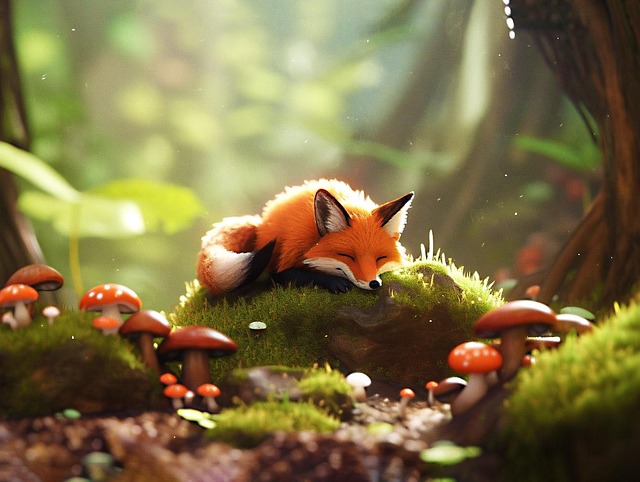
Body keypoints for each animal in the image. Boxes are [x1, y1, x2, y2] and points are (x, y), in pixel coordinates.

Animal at [196, 179, 414, 295]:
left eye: (380, 258)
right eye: (348, 256)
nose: (374, 284)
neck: (311, 237)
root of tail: (262, 222)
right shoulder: (289, 253)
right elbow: (289, 275)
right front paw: (332, 281)